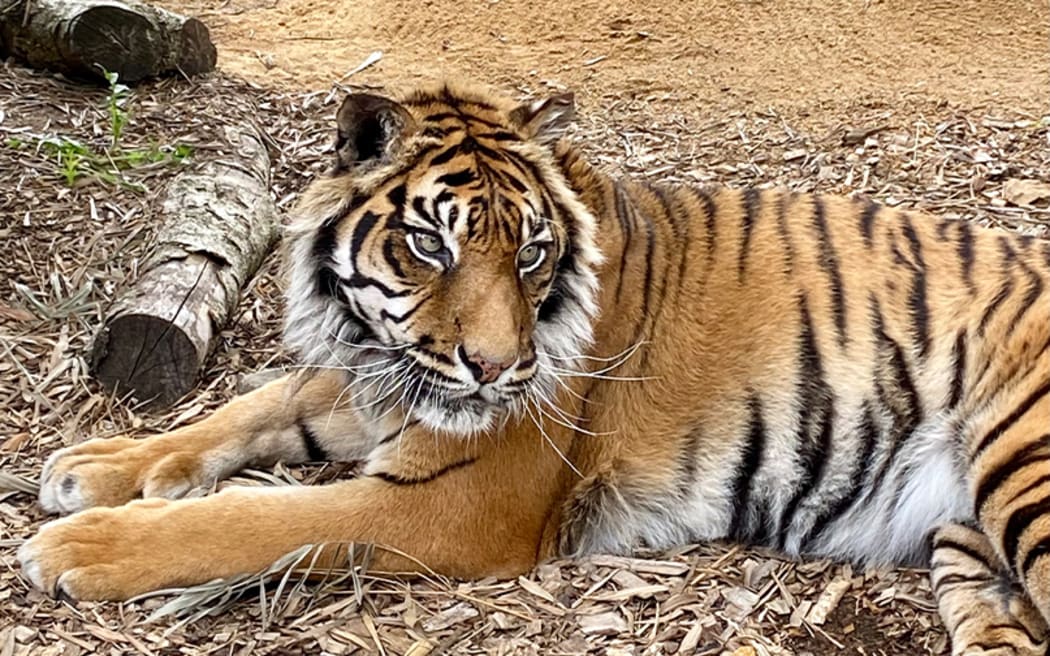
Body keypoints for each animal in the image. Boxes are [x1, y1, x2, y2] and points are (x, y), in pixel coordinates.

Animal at [17, 82, 1050, 654]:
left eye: (531, 253)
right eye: (430, 246)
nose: (496, 370)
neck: (380, 350)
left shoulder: (451, 498)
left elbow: (259, 519)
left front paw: (77, 549)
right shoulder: (377, 379)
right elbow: (250, 408)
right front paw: (95, 465)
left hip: (1020, 466)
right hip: (964, 547)